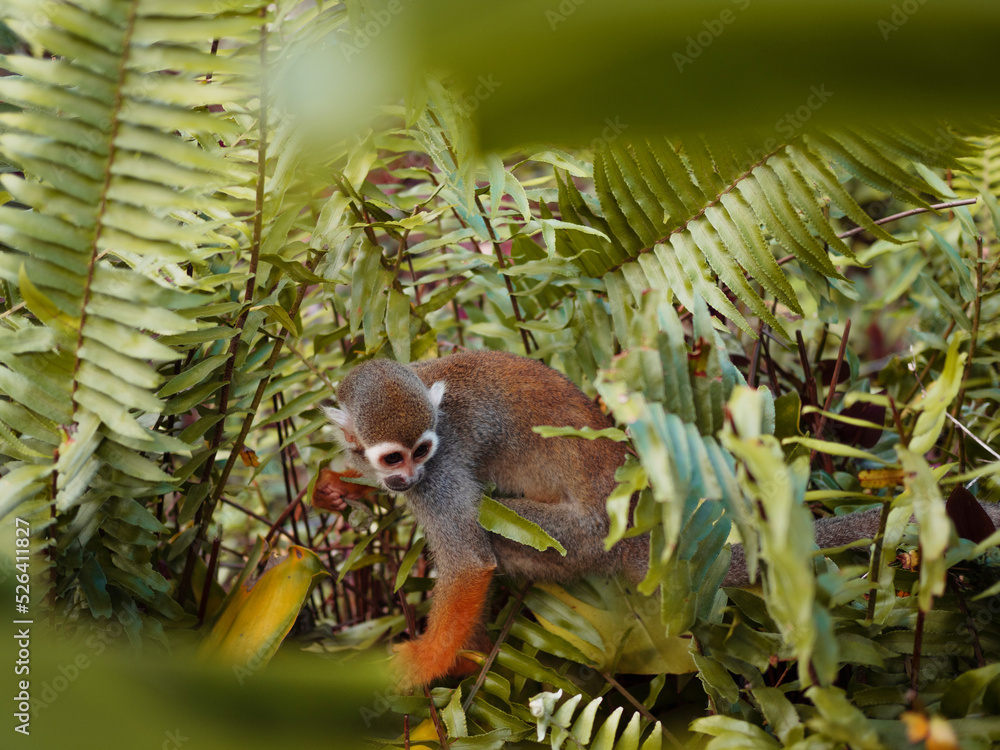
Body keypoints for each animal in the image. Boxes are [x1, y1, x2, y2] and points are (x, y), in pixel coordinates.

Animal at [323, 350, 1000, 689]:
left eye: (421, 452)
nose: (403, 480)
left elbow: (469, 561)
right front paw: (335, 482)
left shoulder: (442, 475)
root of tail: (636, 531)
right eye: (392, 458)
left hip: (579, 541)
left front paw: (421, 665)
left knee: (496, 525)